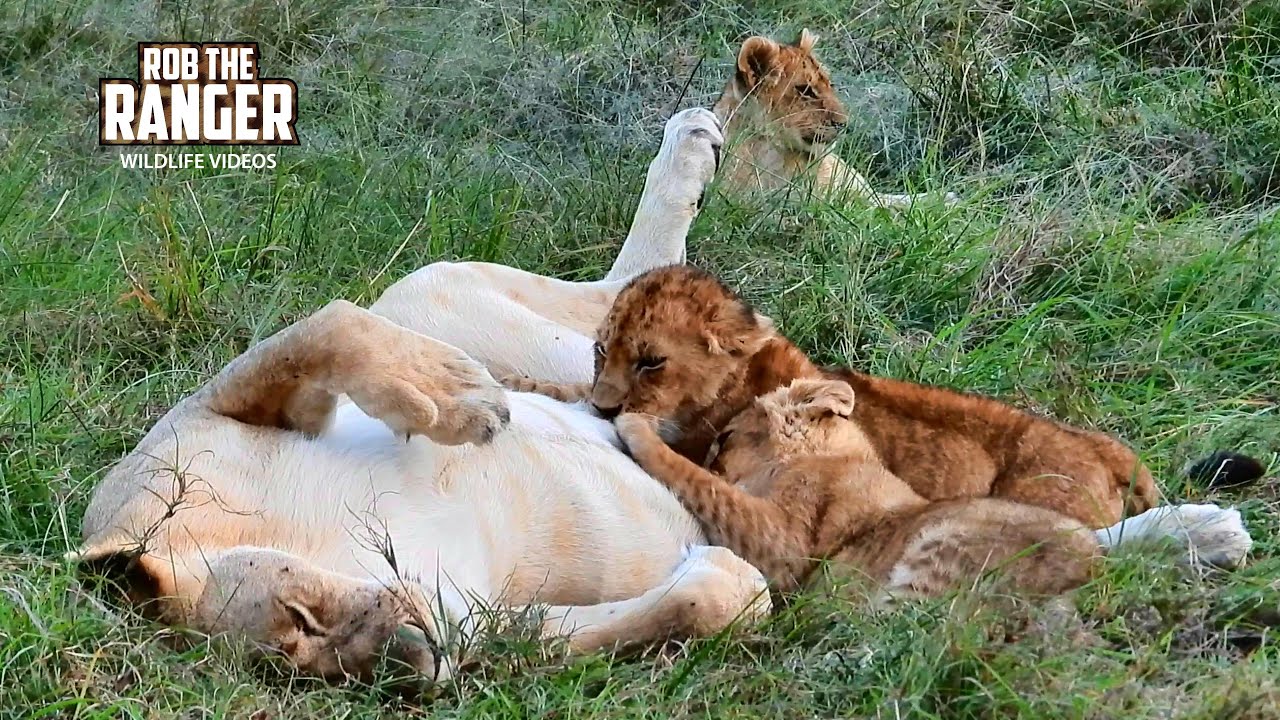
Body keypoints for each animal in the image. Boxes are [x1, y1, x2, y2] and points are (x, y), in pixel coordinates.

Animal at [70, 109, 772, 686]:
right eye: (304, 671)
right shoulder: (481, 622)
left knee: (620, 296)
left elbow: (327, 328)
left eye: (298, 618)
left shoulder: (196, 423)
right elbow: (680, 609)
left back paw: (692, 140)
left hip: (441, 293)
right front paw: (723, 574)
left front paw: (460, 401)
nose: (404, 666)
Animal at [503, 265, 1257, 567]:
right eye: (601, 350)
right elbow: (553, 386)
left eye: (652, 362)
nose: (608, 404)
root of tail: (1110, 449)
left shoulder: (706, 447)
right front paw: (513, 381)